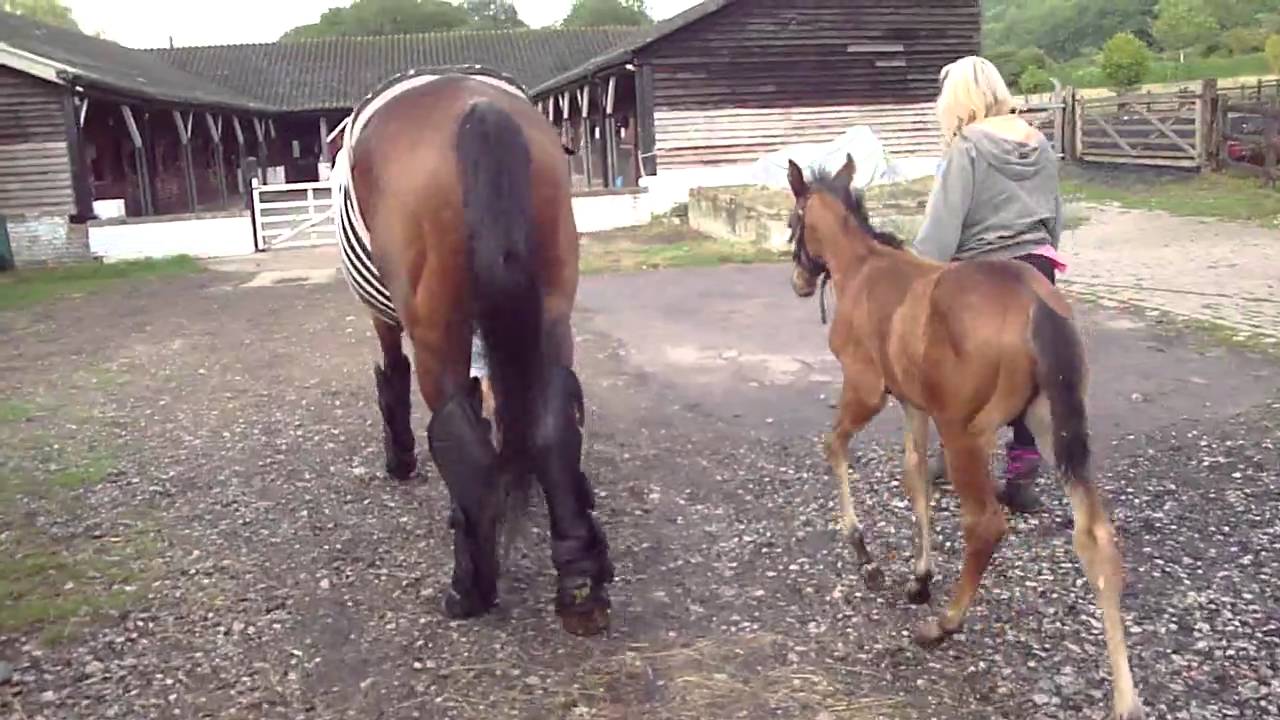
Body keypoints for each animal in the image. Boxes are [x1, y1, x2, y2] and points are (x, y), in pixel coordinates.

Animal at [328, 67, 614, 636]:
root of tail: (477, 109)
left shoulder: (385, 318)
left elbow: (391, 379)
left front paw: (400, 457)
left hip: (437, 328)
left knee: (460, 437)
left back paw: (471, 587)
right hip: (552, 306)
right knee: (551, 419)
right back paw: (579, 579)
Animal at [784, 155, 1142, 719]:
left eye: (793, 219)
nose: (799, 280)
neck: (859, 268)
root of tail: (1036, 303)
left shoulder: (866, 389)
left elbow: (834, 447)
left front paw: (865, 556)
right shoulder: (913, 402)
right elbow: (914, 477)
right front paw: (919, 577)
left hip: (965, 431)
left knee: (986, 524)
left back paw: (945, 625)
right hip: (1053, 425)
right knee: (1096, 536)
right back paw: (1126, 697)